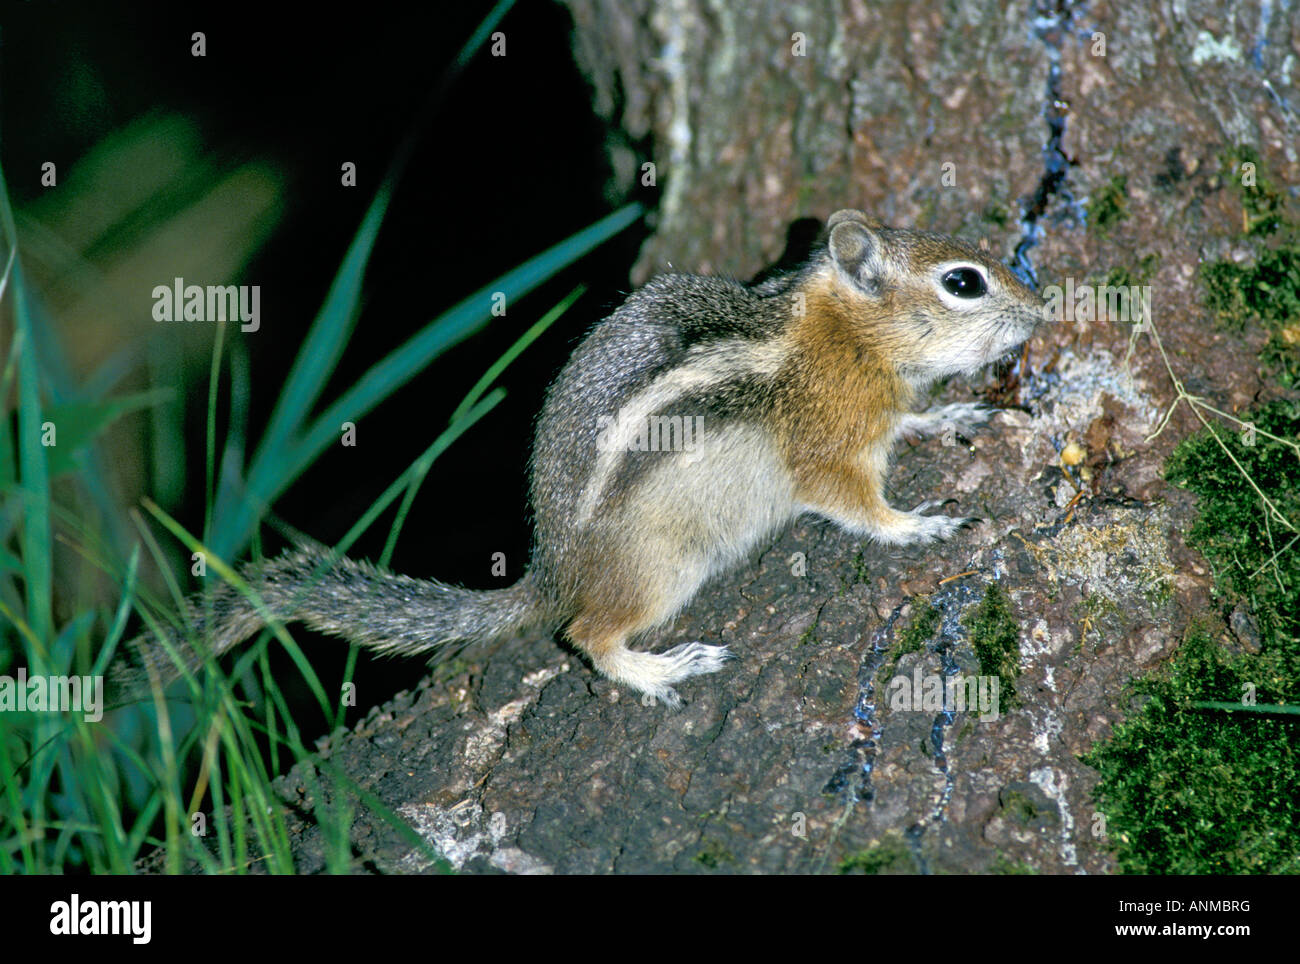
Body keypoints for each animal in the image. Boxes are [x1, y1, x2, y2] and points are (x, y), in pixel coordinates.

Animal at [112, 209, 1044, 708]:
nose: (1042, 311)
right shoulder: (827, 452)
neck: (841, 335)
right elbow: (859, 505)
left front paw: (952, 412)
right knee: (585, 635)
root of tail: (554, 569)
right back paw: (657, 666)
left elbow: (910, 423)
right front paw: (916, 527)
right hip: (662, 572)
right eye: (964, 282)